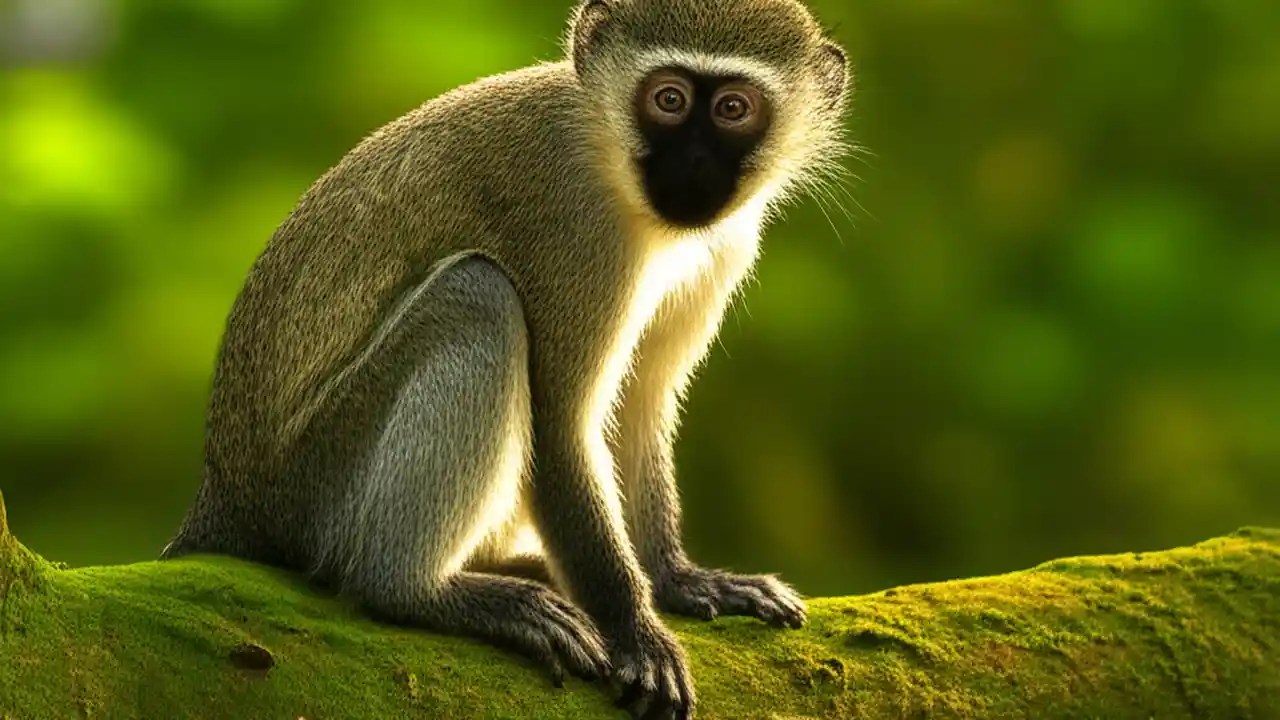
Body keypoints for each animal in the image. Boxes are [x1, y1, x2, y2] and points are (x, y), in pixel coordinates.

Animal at [162, 0, 850, 717]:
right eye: (668, 99)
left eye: (733, 109)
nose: (691, 166)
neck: (603, 149)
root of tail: (227, 494)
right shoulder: (571, 226)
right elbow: (561, 426)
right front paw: (636, 632)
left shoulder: (726, 241)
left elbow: (642, 403)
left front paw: (679, 580)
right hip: (315, 485)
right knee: (479, 294)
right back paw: (414, 590)